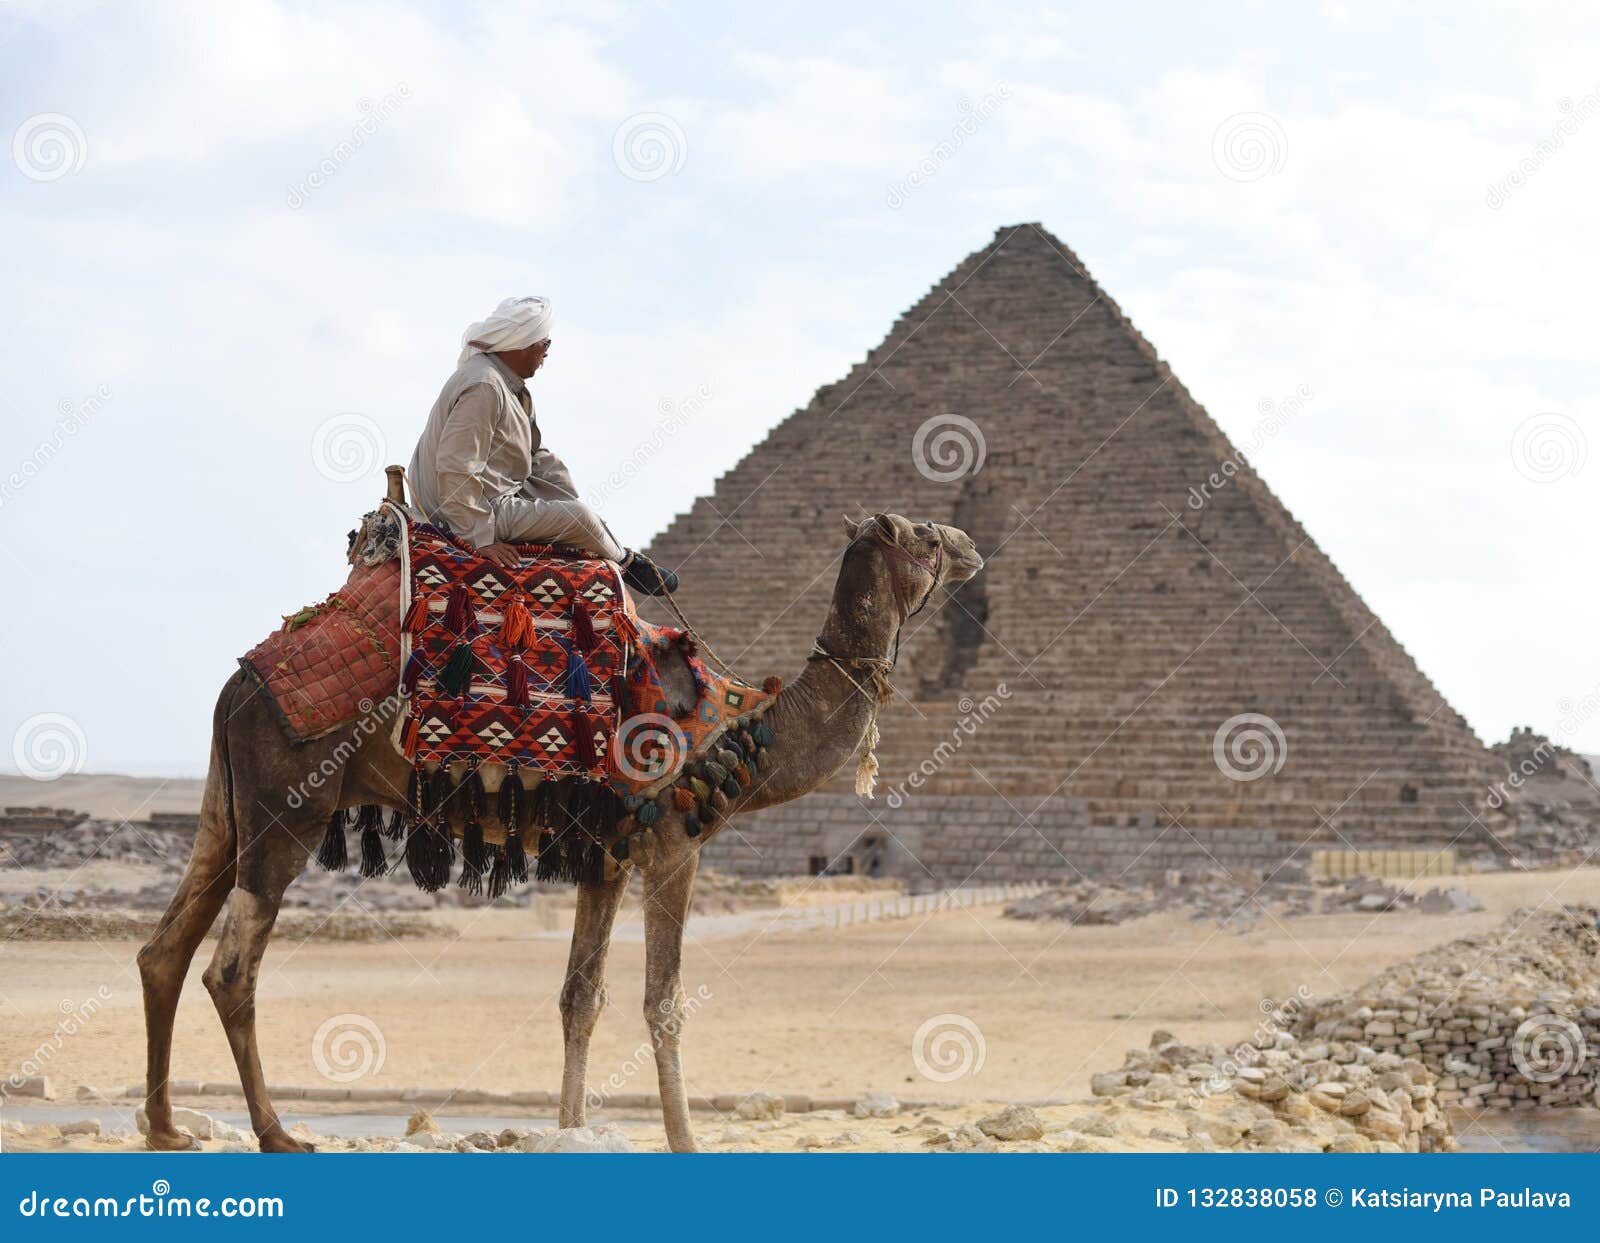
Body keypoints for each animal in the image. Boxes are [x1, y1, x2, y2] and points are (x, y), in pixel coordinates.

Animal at [137, 511, 982, 1153]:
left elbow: (581, 993)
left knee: (163, 950)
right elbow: (663, 1000)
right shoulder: (674, 842)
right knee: (231, 969)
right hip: (288, 808)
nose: (972, 546)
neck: (744, 726)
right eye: (924, 535)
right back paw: (277, 1133)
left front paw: (572, 1127)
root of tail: (240, 682)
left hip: (226, 809)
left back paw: (168, 1127)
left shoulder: (606, 854)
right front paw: (685, 1140)